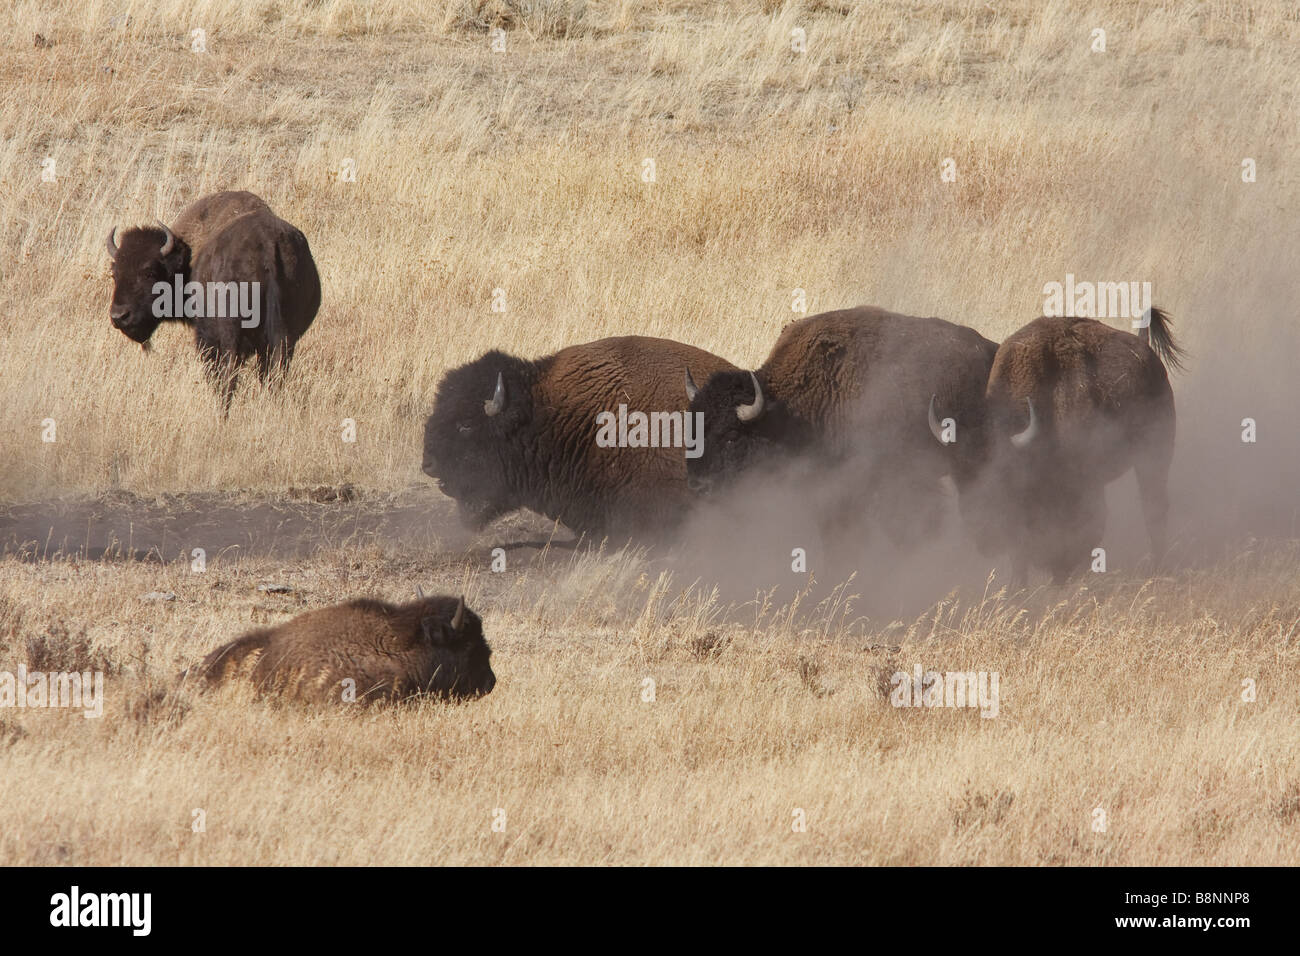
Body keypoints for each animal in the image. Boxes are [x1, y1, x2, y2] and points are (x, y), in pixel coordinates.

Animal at [106, 190, 321, 409]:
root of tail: (267, 246)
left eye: (149, 273)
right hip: (285, 336)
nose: (119, 316)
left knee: (228, 375)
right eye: (114, 274)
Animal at [958, 308, 1183, 585]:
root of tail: (1146, 351)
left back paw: (1157, 569)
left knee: (1154, 508)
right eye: (959, 477)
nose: (982, 536)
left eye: (1005, 476)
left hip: (1155, 453)